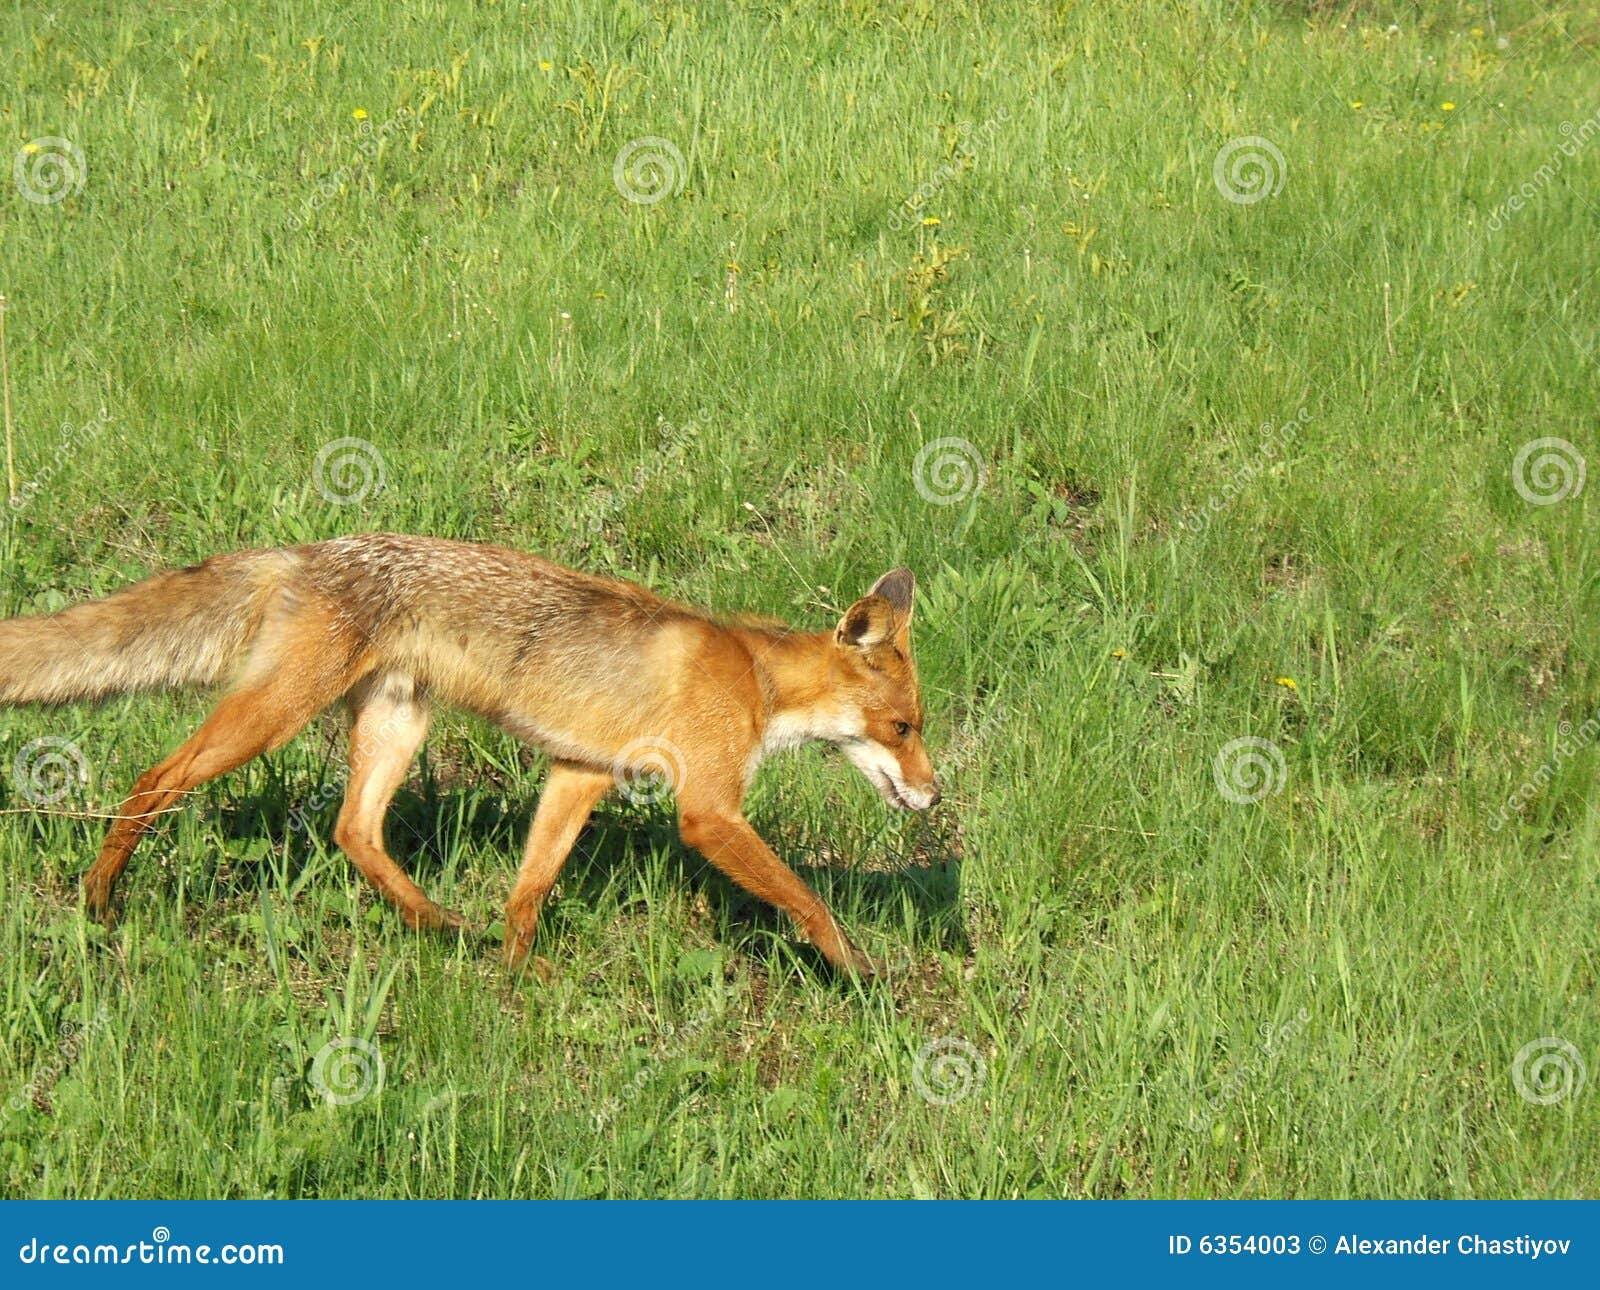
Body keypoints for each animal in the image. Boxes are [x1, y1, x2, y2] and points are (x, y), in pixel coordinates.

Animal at [0, 534, 940, 978]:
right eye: (903, 728)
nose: (936, 795)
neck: (753, 679)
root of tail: (307, 551)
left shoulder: (578, 773)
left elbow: (528, 893)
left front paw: (516, 979)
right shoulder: (708, 811)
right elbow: (807, 899)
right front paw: (860, 972)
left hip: (396, 728)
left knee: (354, 833)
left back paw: (439, 926)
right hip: (270, 718)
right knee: (153, 780)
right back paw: (98, 900)